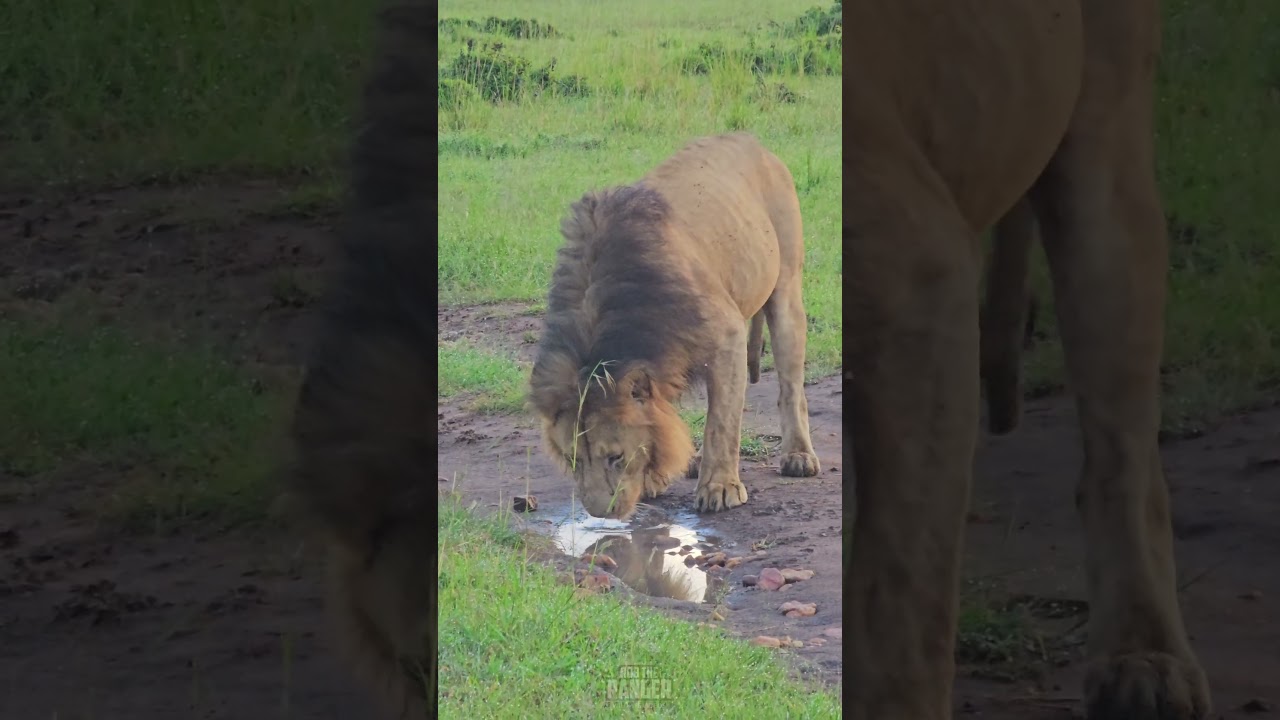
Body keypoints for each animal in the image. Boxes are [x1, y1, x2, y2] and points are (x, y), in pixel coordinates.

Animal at [527, 133, 821, 520]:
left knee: (790, 385)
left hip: (786, 287)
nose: (601, 515)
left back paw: (799, 456)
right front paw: (656, 479)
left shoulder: (727, 334)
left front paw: (720, 488)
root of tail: (749, 138)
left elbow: (721, 423)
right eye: (571, 460)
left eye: (616, 457)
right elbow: (668, 418)